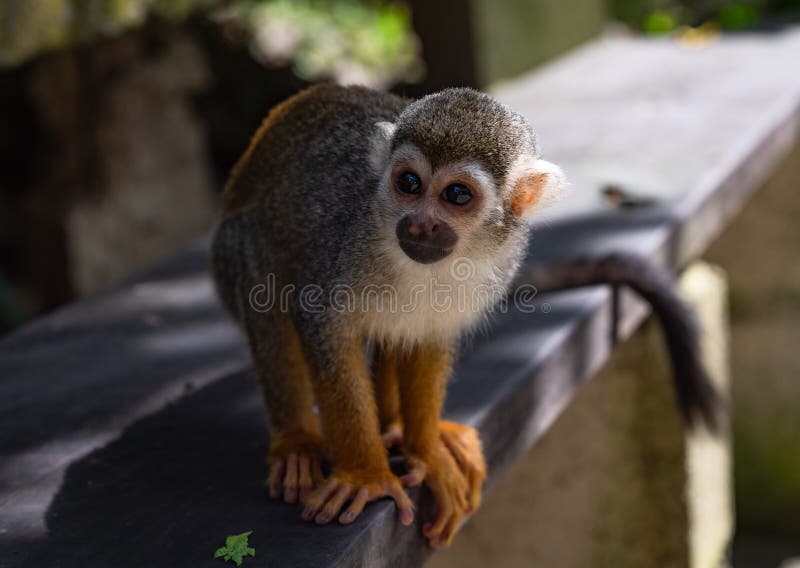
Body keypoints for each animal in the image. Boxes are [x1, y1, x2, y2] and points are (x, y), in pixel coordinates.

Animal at [210, 84, 719, 548]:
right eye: (409, 184)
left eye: (457, 194)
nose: (420, 225)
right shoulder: (341, 247)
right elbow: (319, 322)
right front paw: (364, 475)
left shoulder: (496, 263)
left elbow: (431, 335)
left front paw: (427, 450)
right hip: (231, 255)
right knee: (260, 274)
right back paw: (297, 441)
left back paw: (397, 428)